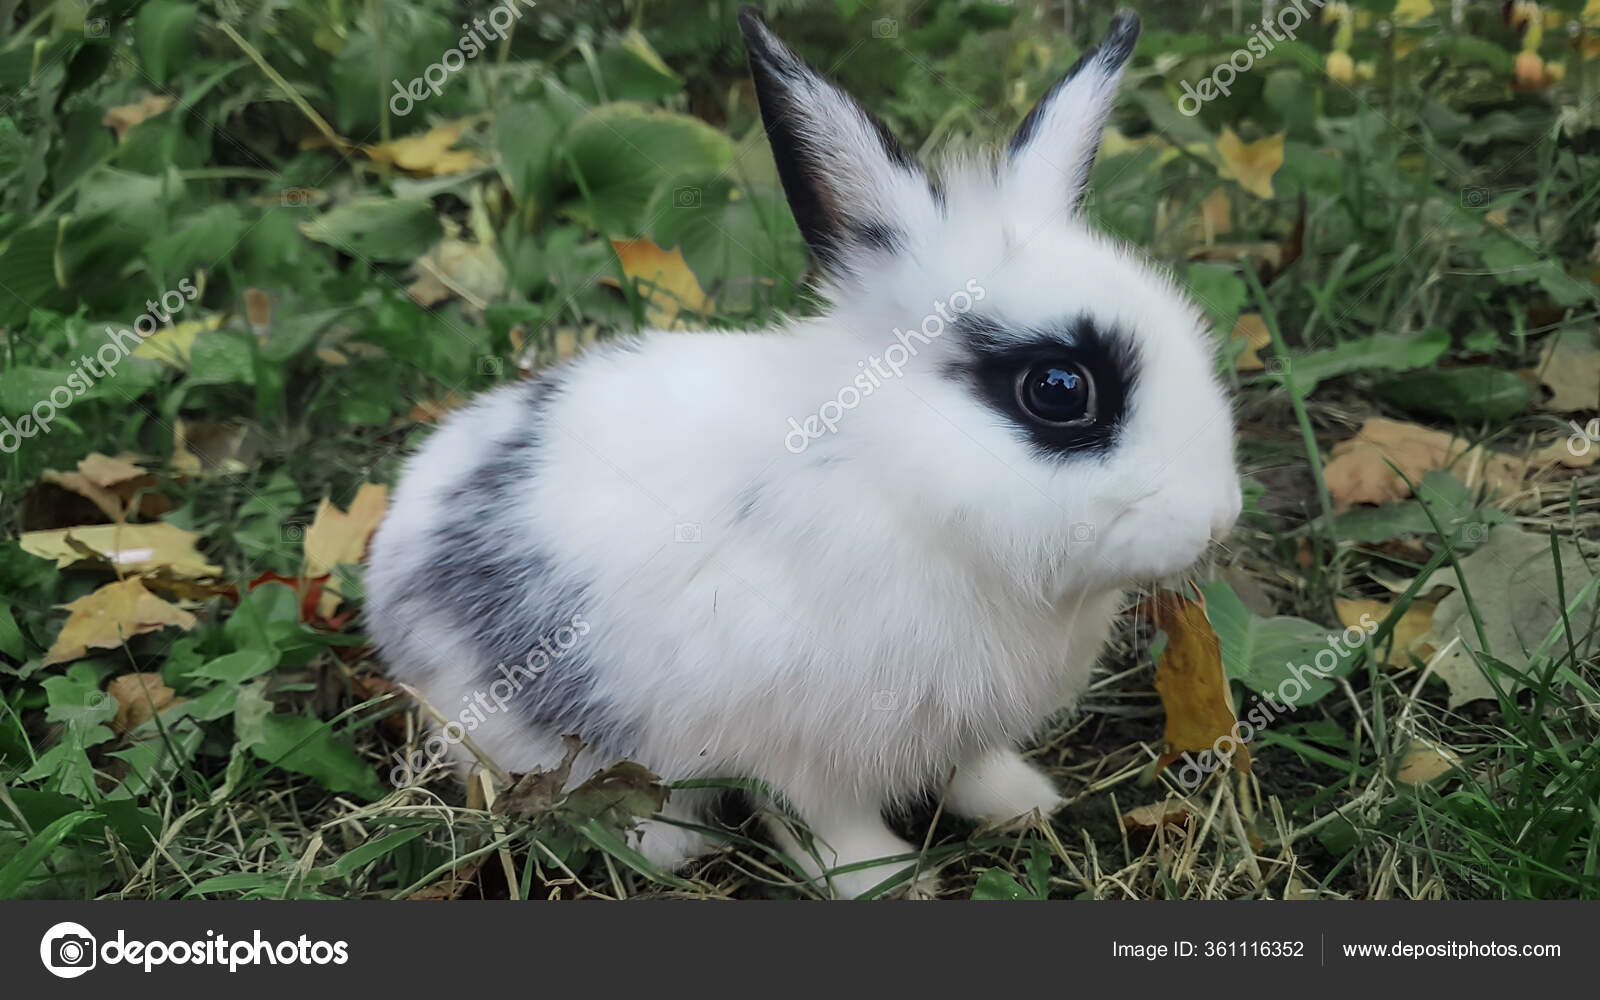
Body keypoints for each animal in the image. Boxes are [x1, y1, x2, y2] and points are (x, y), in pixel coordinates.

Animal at [364, 6, 1241, 899]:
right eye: (1059, 390)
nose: (1218, 516)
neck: (893, 484)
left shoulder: (959, 729)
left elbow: (969, 770)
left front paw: (1022, 802)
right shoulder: (799, 750)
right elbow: (825, 823)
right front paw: (889, 882)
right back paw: (670, 845)